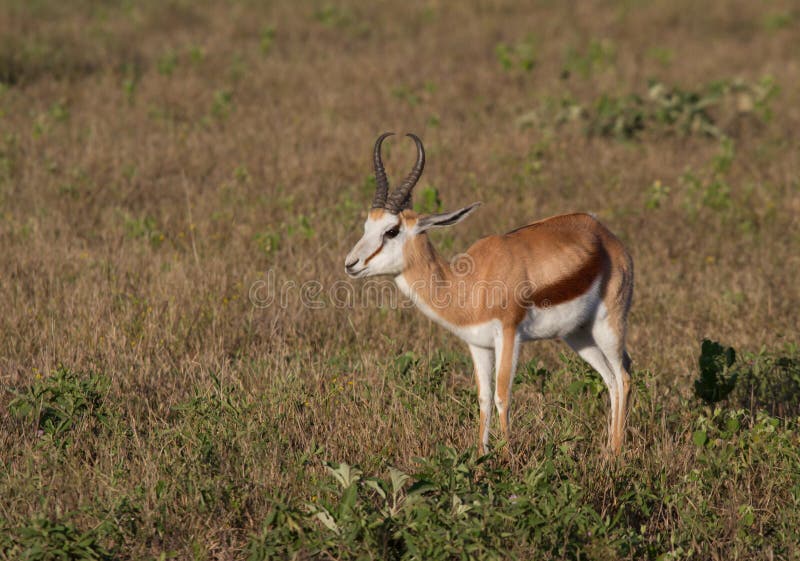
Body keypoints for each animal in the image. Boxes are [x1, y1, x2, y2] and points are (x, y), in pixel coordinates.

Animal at [345, 132, 634, 455]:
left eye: (392, 231)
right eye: (367, 226)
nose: (351, 264)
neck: (468, 284)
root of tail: (603, 232)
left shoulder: (509, 335)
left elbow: (502, 396)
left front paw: (507, 458)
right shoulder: (478, 344)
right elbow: (483, 398)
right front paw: (481, 457)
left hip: (608, 324)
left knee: (623, 376)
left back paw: (616, 455)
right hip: (578, 335)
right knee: (610, 379)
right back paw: (608, 451)